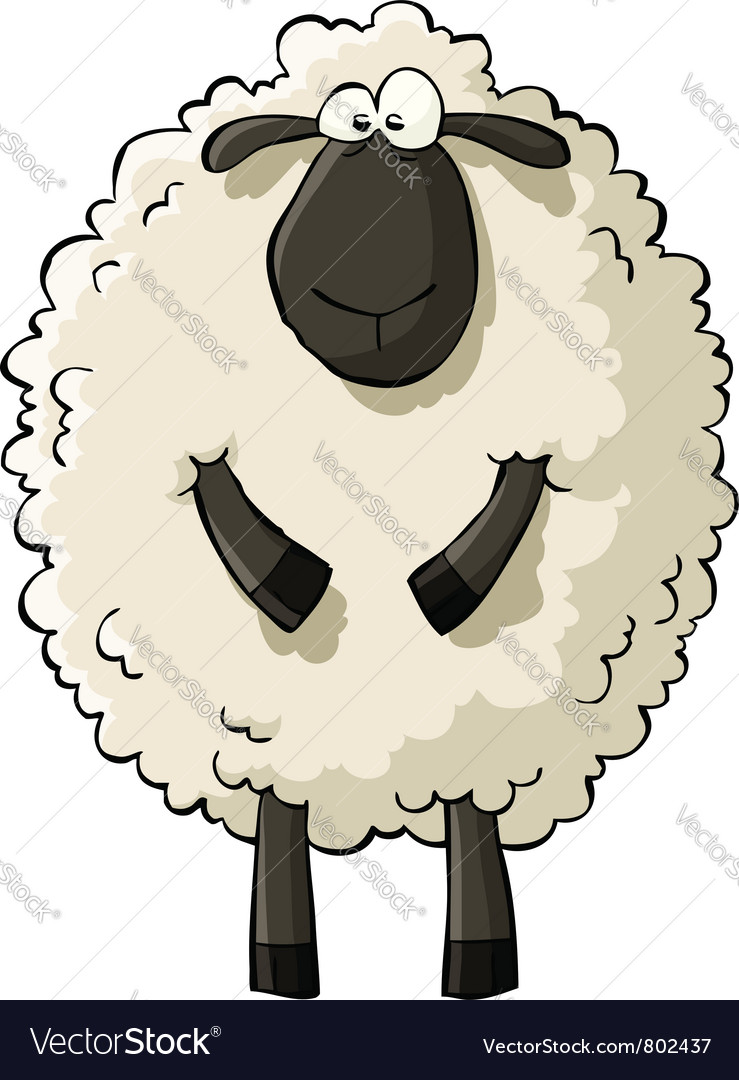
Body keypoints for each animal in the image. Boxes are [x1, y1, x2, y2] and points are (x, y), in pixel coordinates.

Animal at [2, 1, 733, 1000]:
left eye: (411, 134)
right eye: (348, 130)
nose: (372, 296)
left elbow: (507, 505)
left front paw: (437, 588)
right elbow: (233, 509)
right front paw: (303, 585)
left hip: (476, 727)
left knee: (466, 808)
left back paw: (476, 964)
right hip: (271, 727)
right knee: (281, 810)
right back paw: (283, 967)